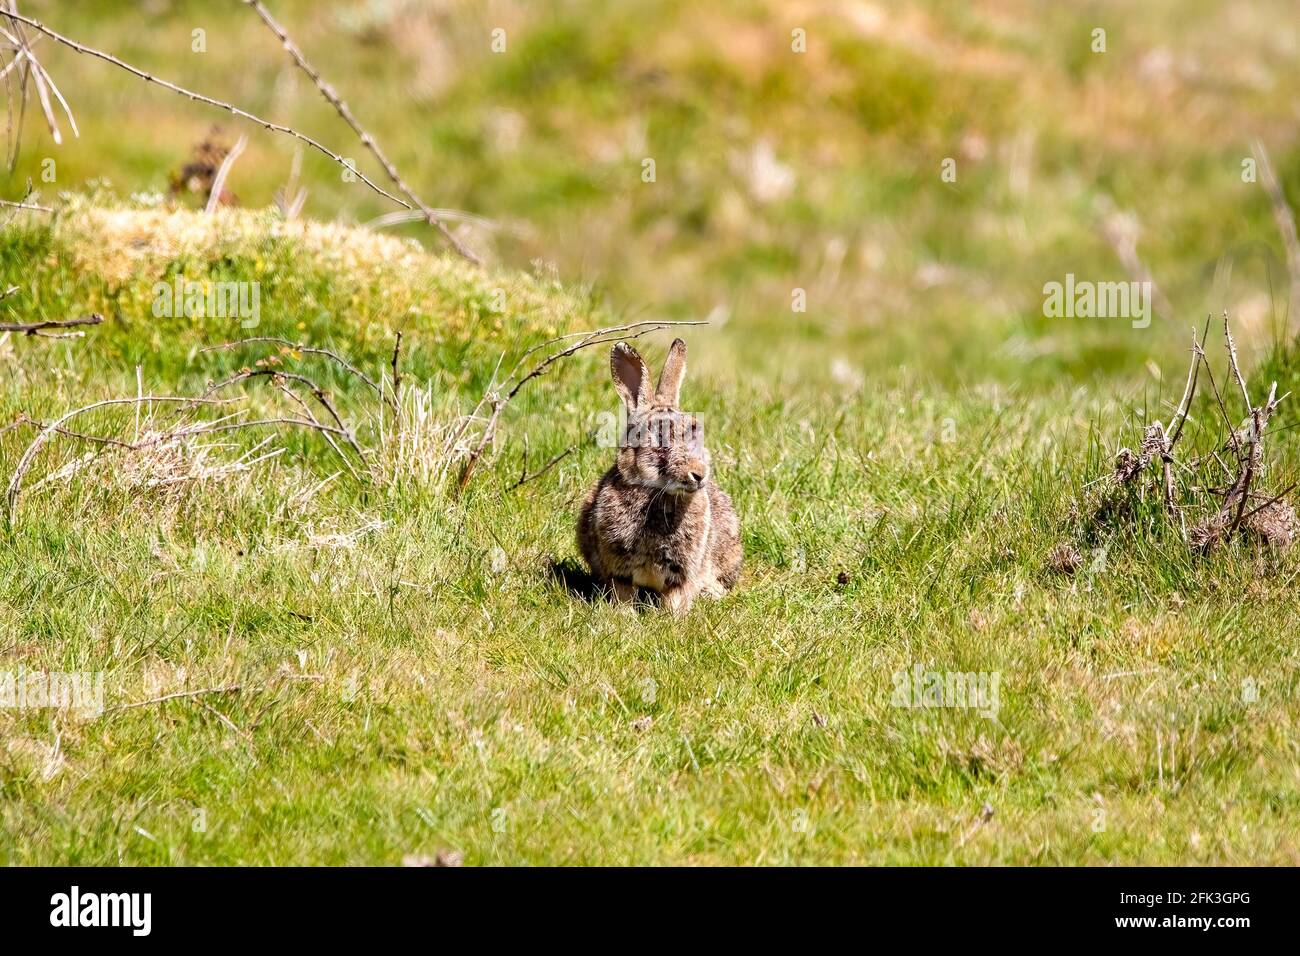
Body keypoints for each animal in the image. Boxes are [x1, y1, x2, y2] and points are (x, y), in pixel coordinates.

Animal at [578, 338, 742, 614]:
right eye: (660, 439)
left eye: (697, 431)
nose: (699, 474)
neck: (657, 493)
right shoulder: (619, 569)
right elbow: (623, 594)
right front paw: (625, 617)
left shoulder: (682, 572)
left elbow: (676, 597)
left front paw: (672, 618)